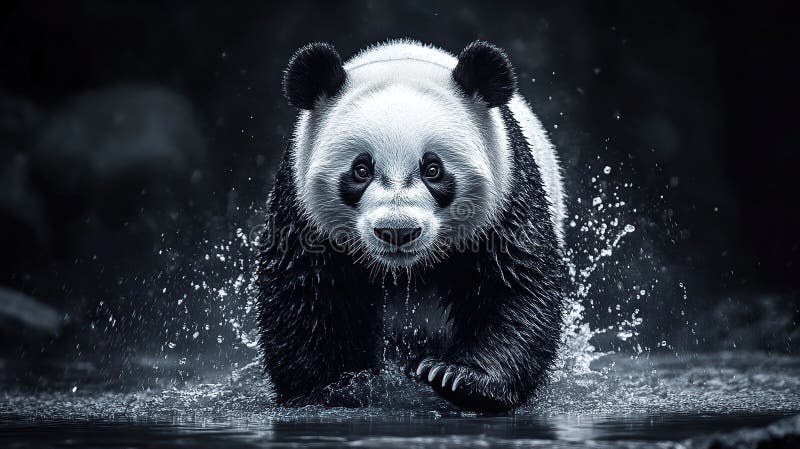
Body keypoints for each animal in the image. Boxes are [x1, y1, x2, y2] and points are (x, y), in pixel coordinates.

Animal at [257, 39, 566, 413]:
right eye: (361, 170)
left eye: (433, 169)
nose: (398, 231)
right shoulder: (304, 212)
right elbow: (305, 296)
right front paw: (334, 388)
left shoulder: (504, 199)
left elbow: (513, 288)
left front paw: (456, 377)